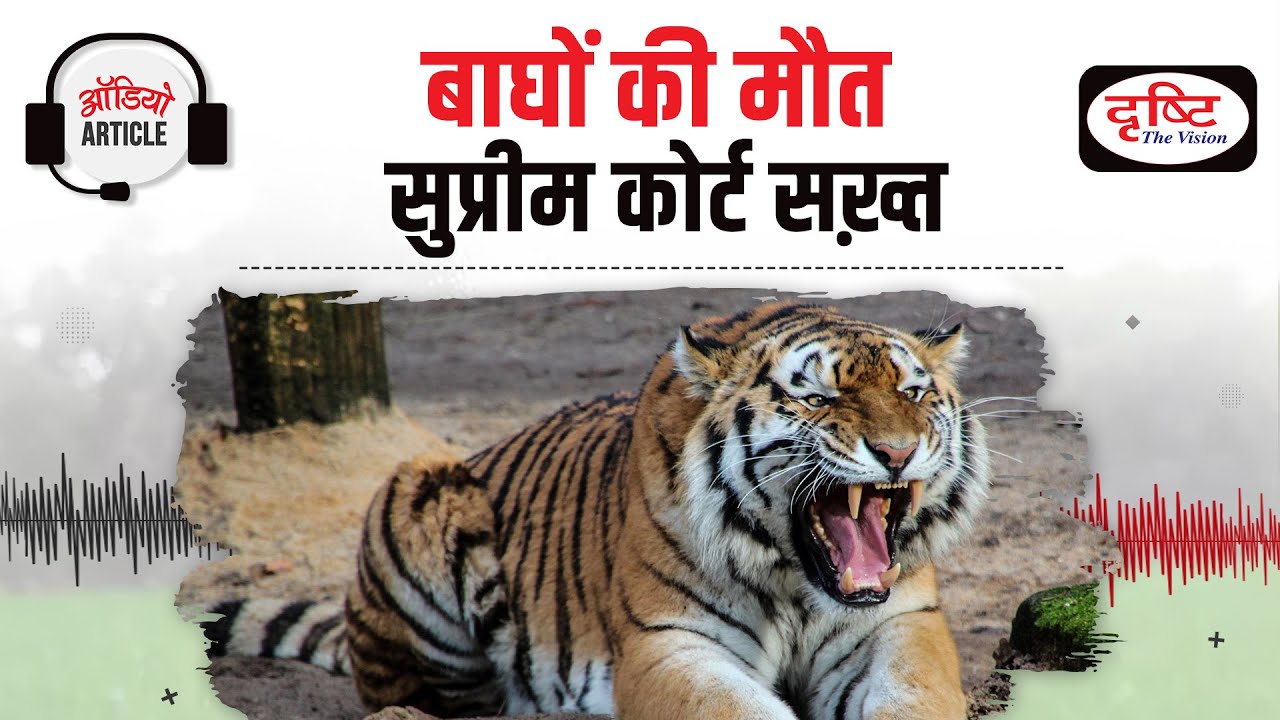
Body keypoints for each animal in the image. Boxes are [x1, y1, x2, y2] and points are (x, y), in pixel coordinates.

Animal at [202, 301, 991, 720]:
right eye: (819, 397)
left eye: (914, 393)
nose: (897, 452)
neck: (799, 582)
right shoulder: (669, 644)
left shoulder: (901, 624)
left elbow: (913, 698)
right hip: (418, 489)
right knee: (425, 700)